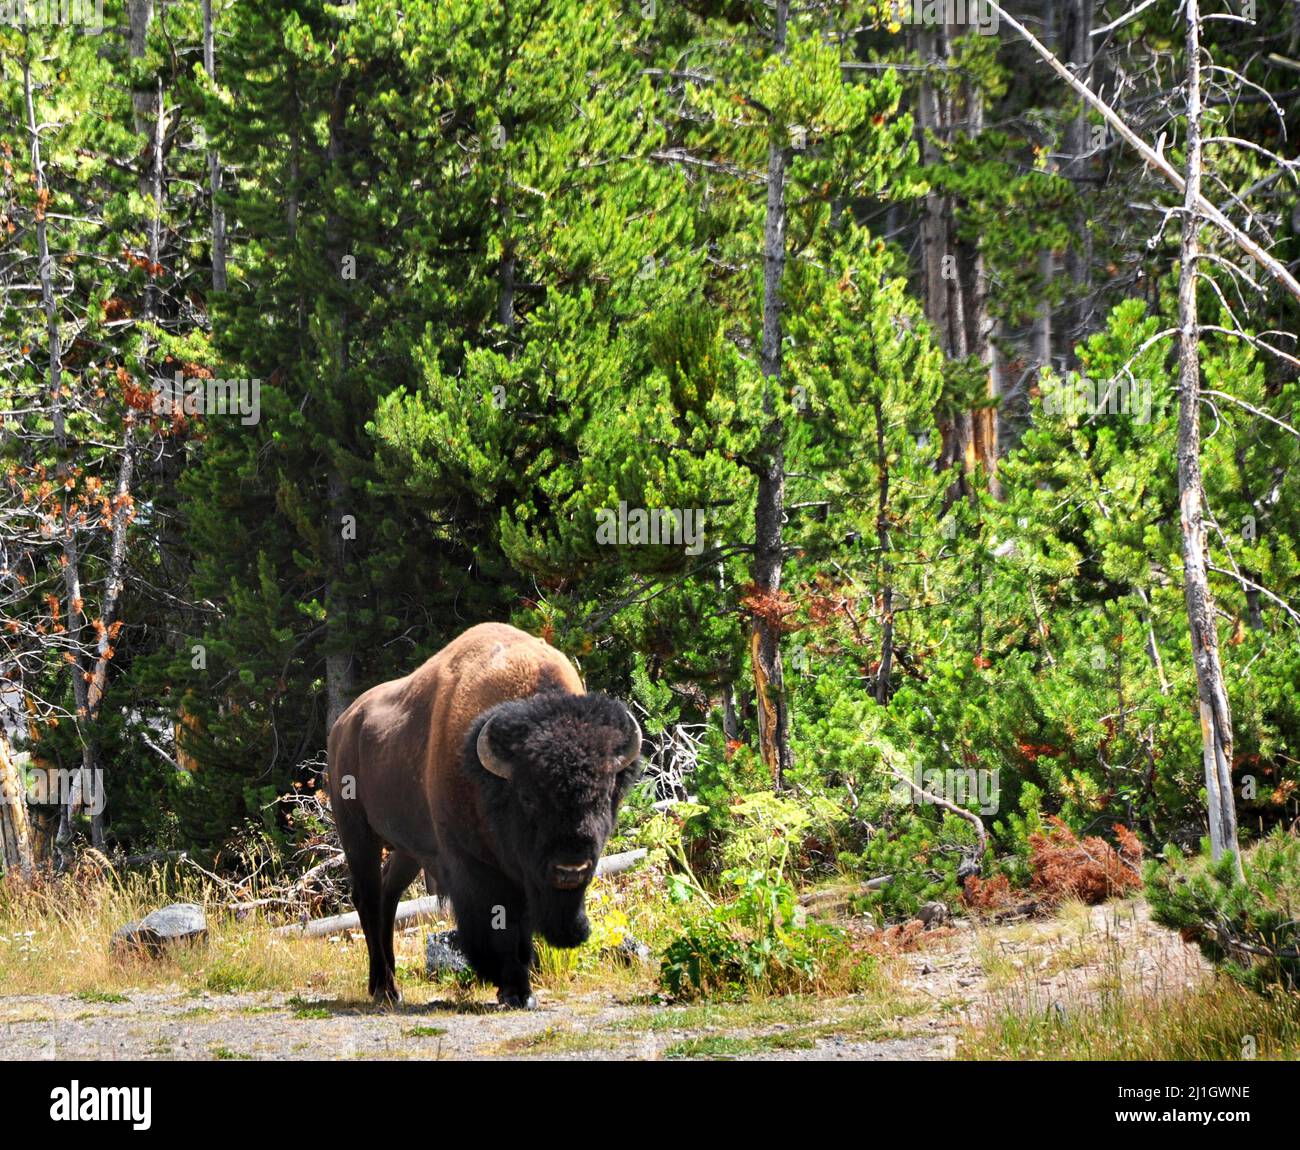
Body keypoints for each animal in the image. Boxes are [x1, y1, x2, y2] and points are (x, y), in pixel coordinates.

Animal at [326, 623, 642, 1007]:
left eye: (607, 793)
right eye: (527, 796)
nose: (571, 868)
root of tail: (344, 726)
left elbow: (522, 924)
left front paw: (522, 990)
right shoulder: (472, 864)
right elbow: (498, 921)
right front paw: (514, 990)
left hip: (407, 851)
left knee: (389, 894)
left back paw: (391, 987)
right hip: (357, 832)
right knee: (368, 898)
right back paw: (384, 988)